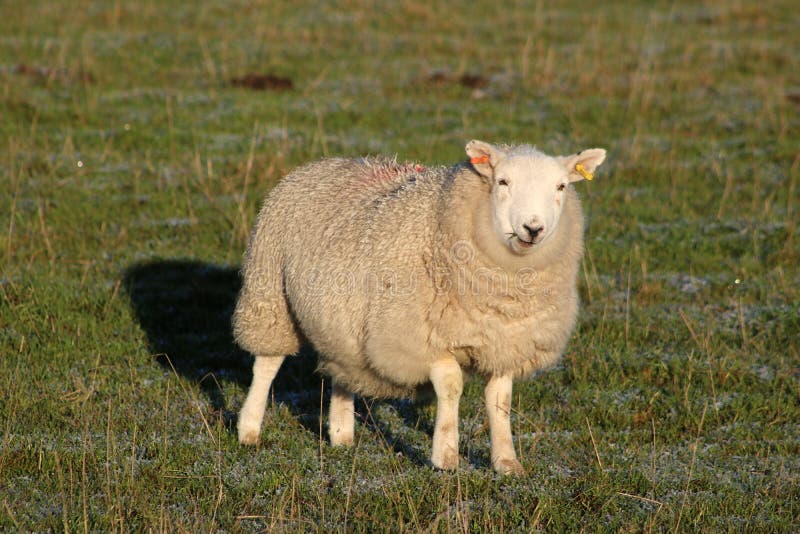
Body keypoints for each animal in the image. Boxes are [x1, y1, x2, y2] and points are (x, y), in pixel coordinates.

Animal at [233, 140, 606, 474]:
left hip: (341, 320)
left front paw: (506, 462)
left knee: (343, 366)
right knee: (267, 365)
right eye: (503, 182)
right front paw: (446, 457)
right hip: (269, 294)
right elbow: (452, 386)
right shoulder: (422, 336)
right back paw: (249, 430)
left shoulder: (504, 342)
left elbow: (500, 400)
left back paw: (341, 434)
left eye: (561, 186)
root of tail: (322, 163)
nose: (533, 228)